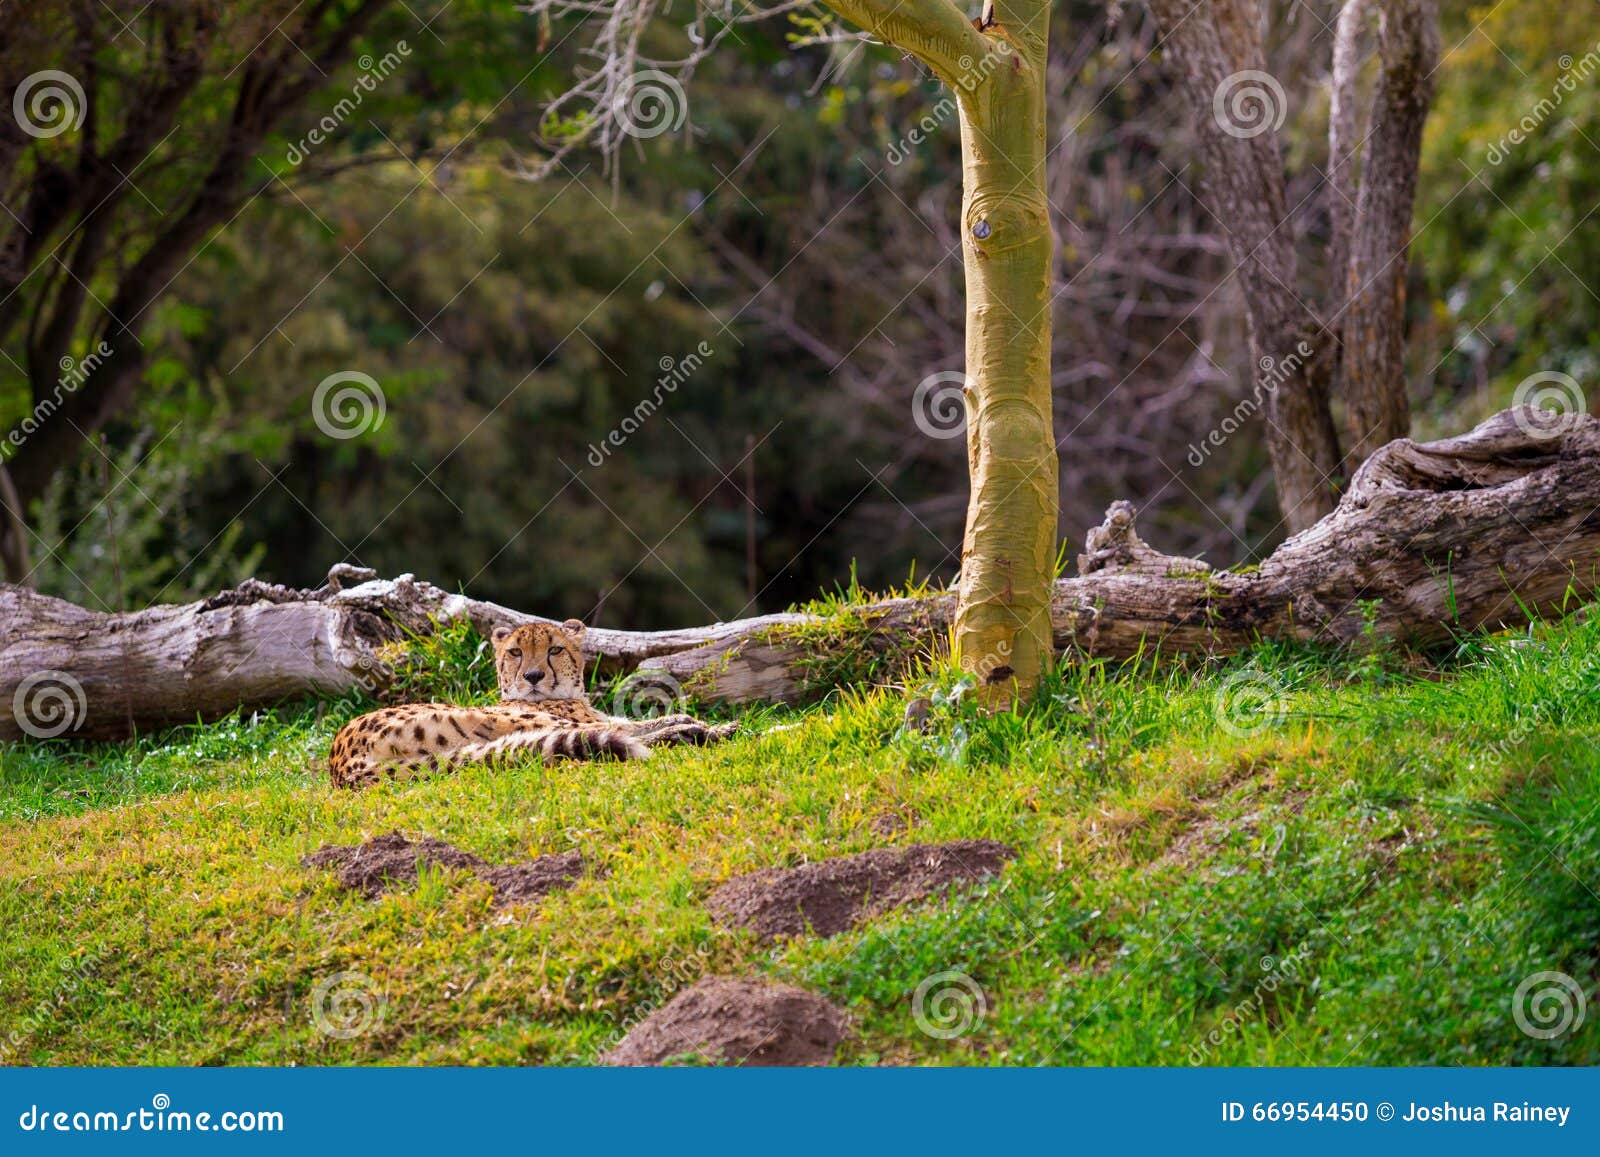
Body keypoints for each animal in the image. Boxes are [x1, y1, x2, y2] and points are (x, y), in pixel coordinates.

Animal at [327, 618, 735, 789]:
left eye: (554, 649)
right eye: (515, 652)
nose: (534, 676)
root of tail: (343, 764)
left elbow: (636, 720)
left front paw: (701, 721)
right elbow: (630, 725)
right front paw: (700, 724)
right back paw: (696, 734)